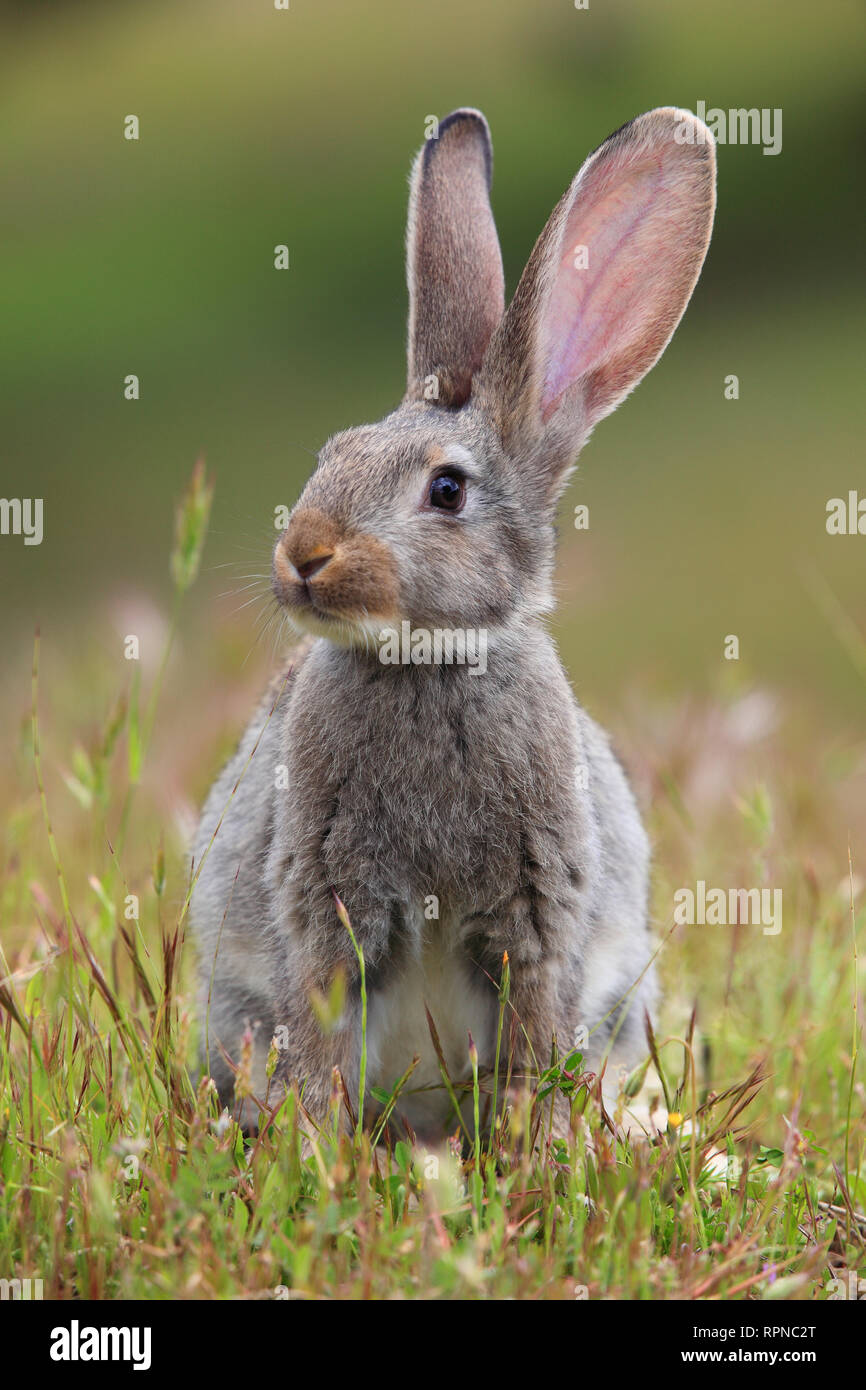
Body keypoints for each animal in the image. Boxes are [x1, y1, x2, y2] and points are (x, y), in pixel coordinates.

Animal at [191, 106, 716, 1141]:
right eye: (331, 453)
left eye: (446, 490)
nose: (303, 555)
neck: (425, 662)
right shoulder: (324, 900)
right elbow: (321, 1029)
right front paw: (317, 1145)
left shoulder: (540, 912)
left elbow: (536, 1036)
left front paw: (531, 1140)